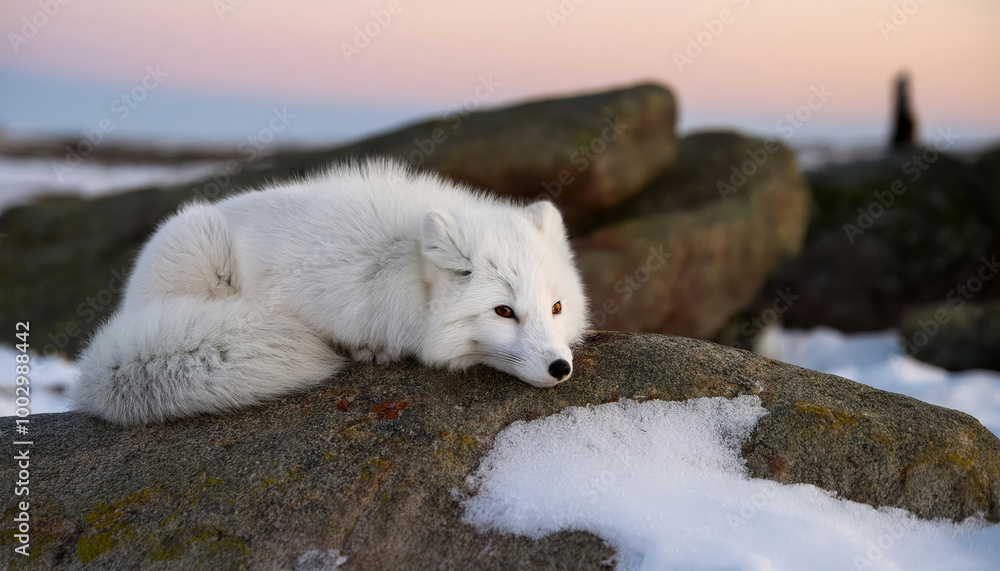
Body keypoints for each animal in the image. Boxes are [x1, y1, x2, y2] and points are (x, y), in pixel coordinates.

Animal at [71, 159, 588, 425]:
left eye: (556, 307)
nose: (560, 368)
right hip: (203, 252)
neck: (400, 268)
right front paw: (370, 351)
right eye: (504, 311)